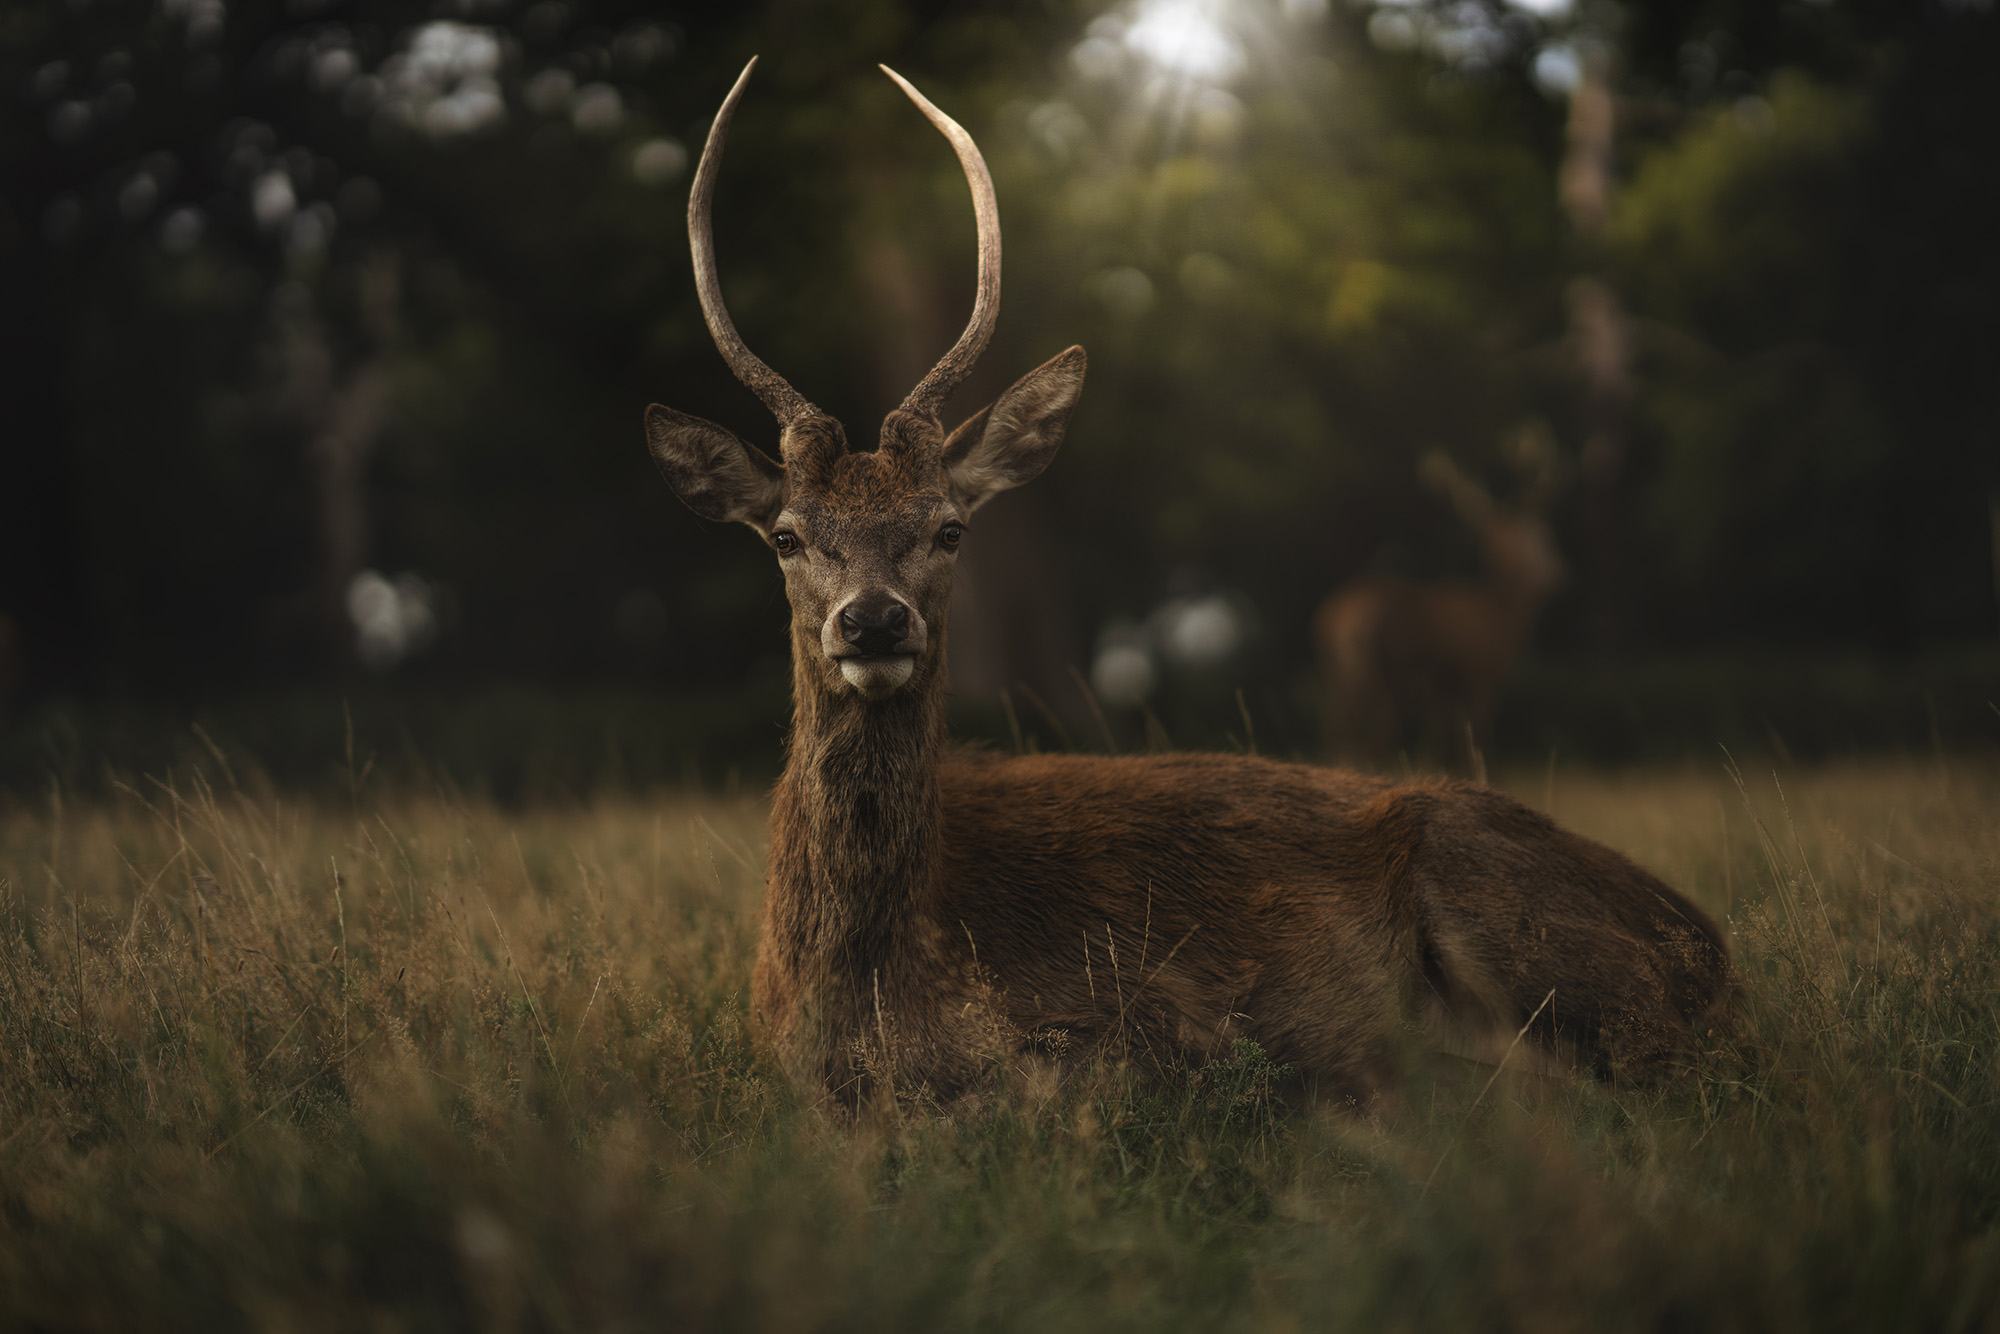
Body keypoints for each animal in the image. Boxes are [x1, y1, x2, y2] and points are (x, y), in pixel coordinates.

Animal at [1314, 438, 1568, 772]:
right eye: (1543, 534)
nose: (1559, 573)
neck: (1504, 614)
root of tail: (1343, 620)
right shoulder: (1481, 672)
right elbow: (1478, 741)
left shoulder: (1445, 695)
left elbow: (1446, 746)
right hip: (1386, 674)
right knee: (1369, 741)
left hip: (1336, 677)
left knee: (1335, 735)